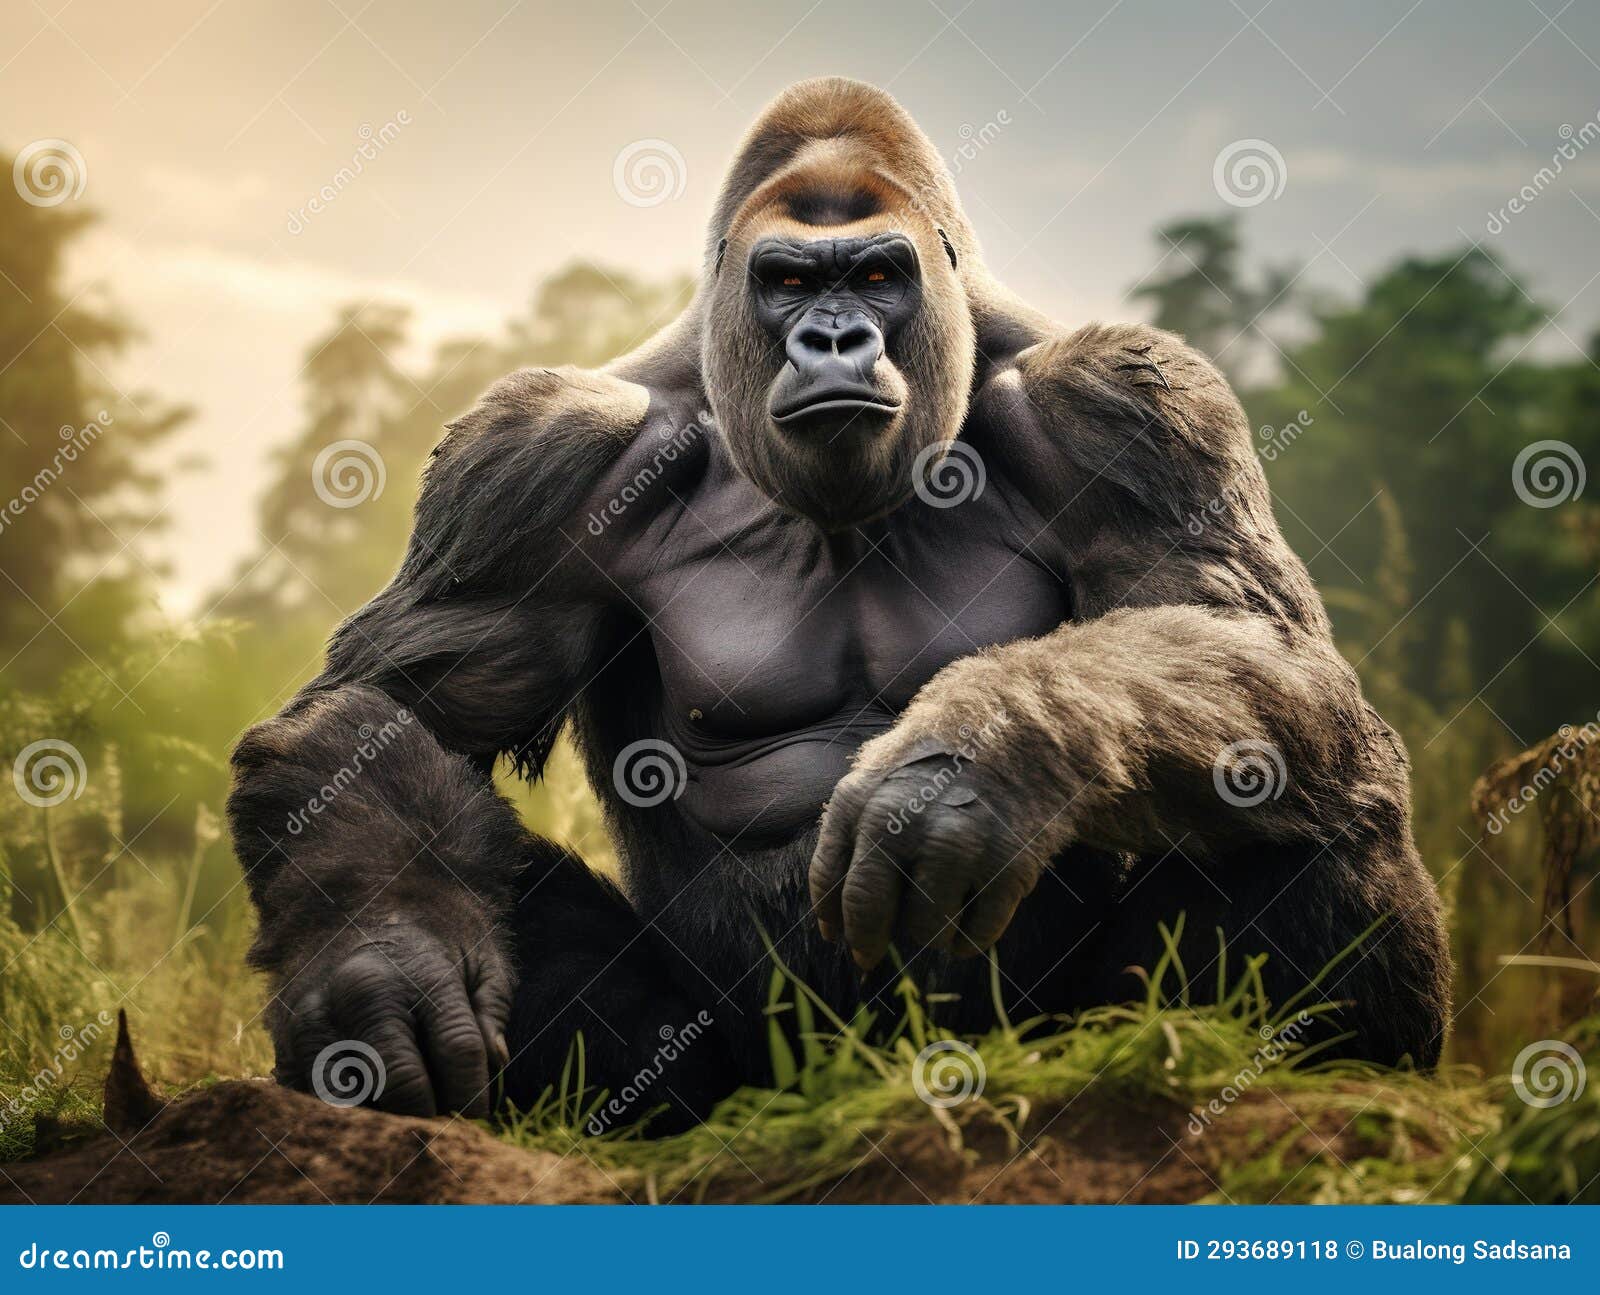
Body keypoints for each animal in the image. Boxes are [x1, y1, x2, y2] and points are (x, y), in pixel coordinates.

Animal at [228, 78, 1451, 1128]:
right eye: (788, 283)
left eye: (871, 280)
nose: (831, 338)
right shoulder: (533, 455)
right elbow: (394, 709)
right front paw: (380, 958)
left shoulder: (1128, 403)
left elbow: (1253, 640)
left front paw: (981, 756)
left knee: (1285, 778)